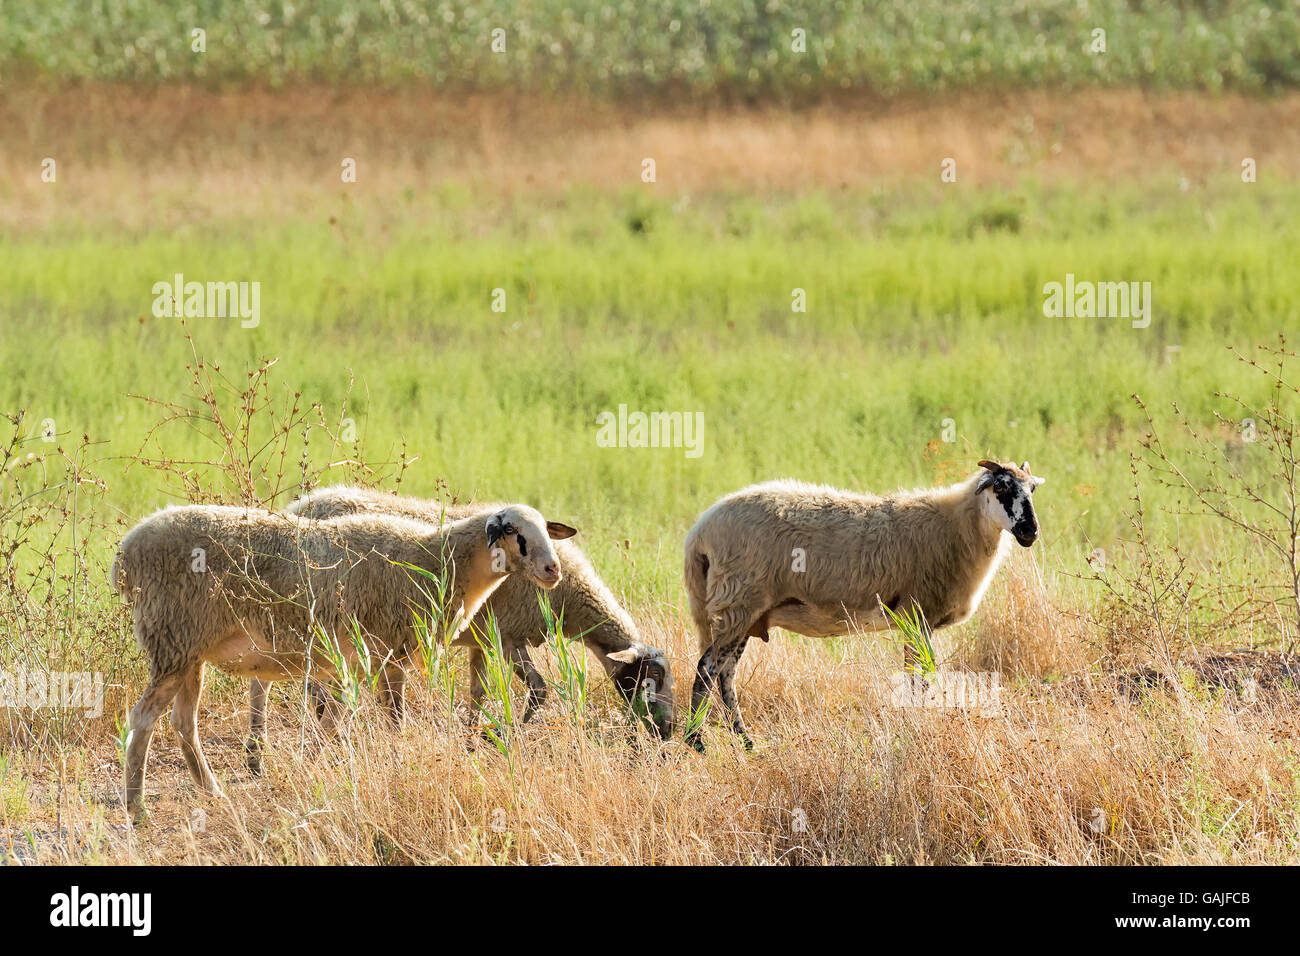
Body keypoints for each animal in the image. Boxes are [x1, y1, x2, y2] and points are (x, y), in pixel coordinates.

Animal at [111, 501, 576, 823]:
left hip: (188, 651)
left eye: (546, 531)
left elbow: (344, 721)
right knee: (143, 719)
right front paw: (391, 766)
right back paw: (137, 810)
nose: (553, 570)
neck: (437, 559)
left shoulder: (373, 658)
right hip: (172, 640)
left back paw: (212, 792)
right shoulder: (387, 652)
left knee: (182, 723)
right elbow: (393, 720)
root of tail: (126, 555)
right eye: (512, 530)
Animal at [258, 486, 674, 740]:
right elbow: (538, 689)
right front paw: (514, 731)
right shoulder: (508, 636)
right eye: (648, 679)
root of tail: (300, 504)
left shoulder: (484, 640)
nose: (668, 732)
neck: (569, 597)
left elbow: (479, 692)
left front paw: (475, 734)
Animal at [682, 459, 1046, 751]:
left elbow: (915, 674)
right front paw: (916, 726)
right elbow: (919, 677)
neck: (957, 526)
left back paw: (746, 742)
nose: (1030, 531)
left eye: (1031, 490)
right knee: (707, 669)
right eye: (1001, 487)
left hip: (744, 612)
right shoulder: (918, 614)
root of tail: (698, 532)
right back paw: (696, 742)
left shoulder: (915, 621)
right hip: (737, 602)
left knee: (726, 674)